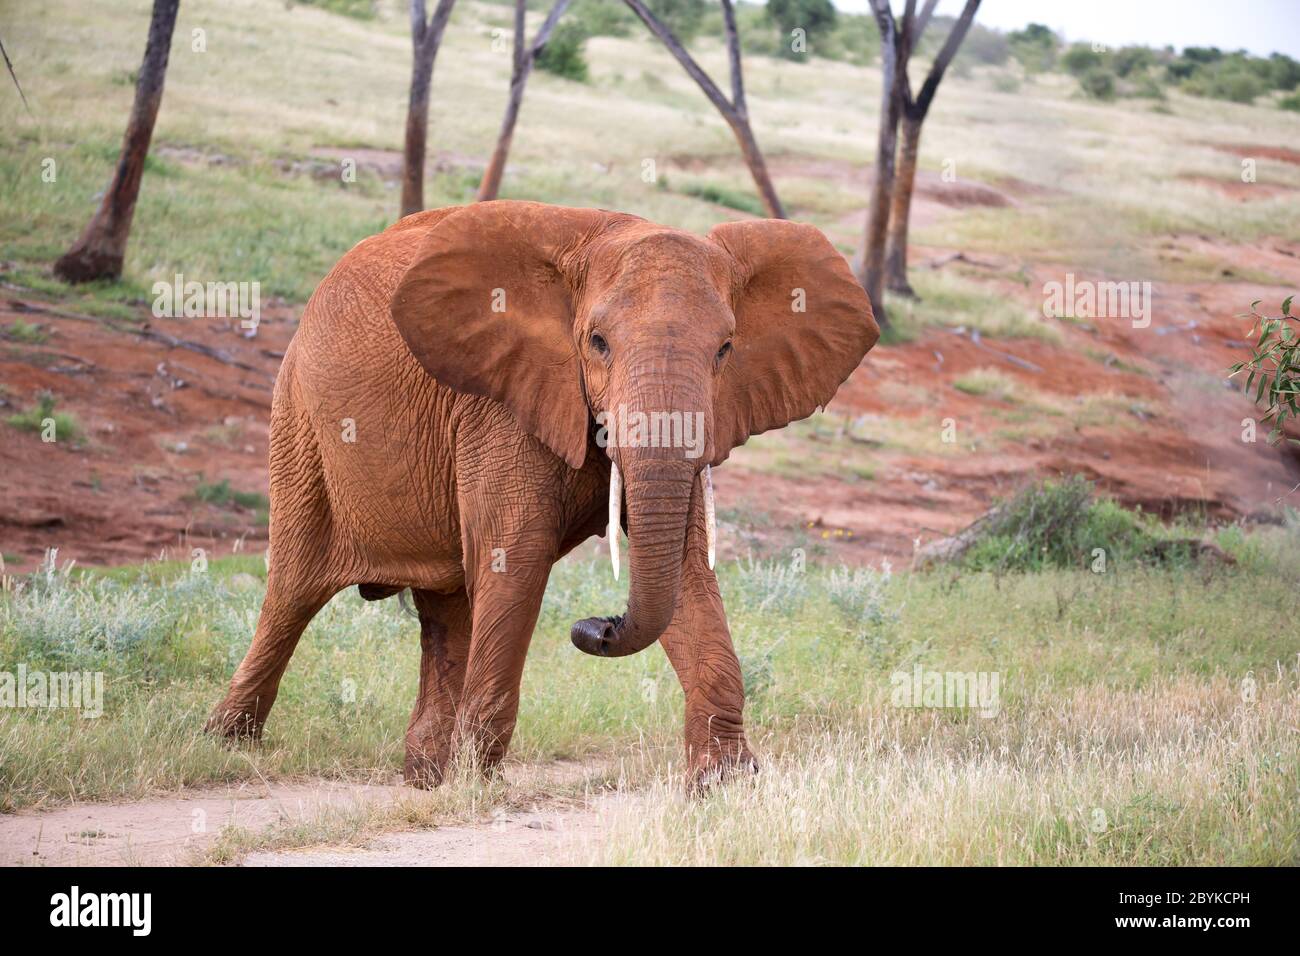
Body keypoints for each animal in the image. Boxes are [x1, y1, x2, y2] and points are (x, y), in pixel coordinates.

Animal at [206, 200, 878, 788]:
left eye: (726, 350)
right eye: (597, 342)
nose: (593, 627)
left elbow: (685, 568)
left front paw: (724, 785)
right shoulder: (500, 400)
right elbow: (519, 555)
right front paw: (477, 786)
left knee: (445, 607)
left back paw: (423, 774)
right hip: (298, 418)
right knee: (293, 590)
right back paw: (226, 746)